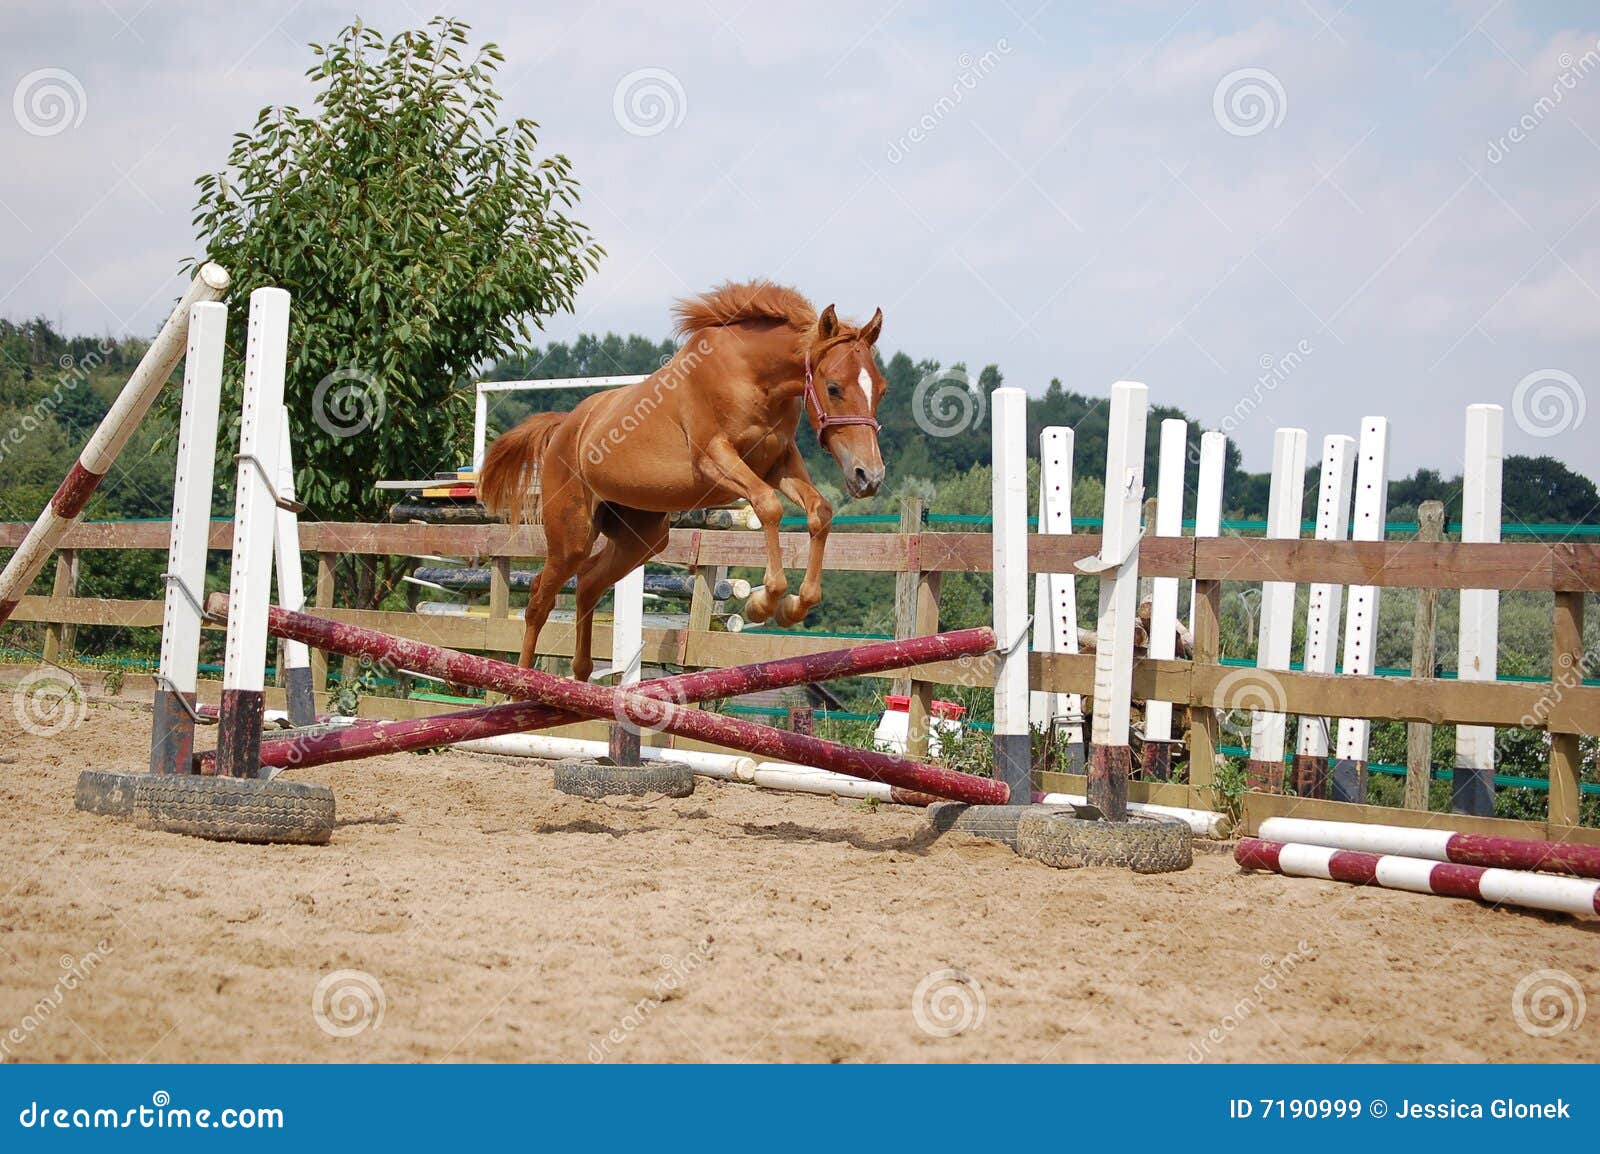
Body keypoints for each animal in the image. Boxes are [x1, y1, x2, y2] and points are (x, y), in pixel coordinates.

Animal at [478, 282, 888, 677]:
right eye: (833, 387)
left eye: (881, 390)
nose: (868, 476)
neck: (752, 375)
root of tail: (565, 426)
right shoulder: (715, 459)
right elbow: (768, 506)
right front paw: (764, 601)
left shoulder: (778, 464)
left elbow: (820, 511)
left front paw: (794, 607)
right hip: (572, 538)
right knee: (539, 600)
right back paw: (520, 683)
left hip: (643, 538)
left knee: (589, 584)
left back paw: (581, 679)